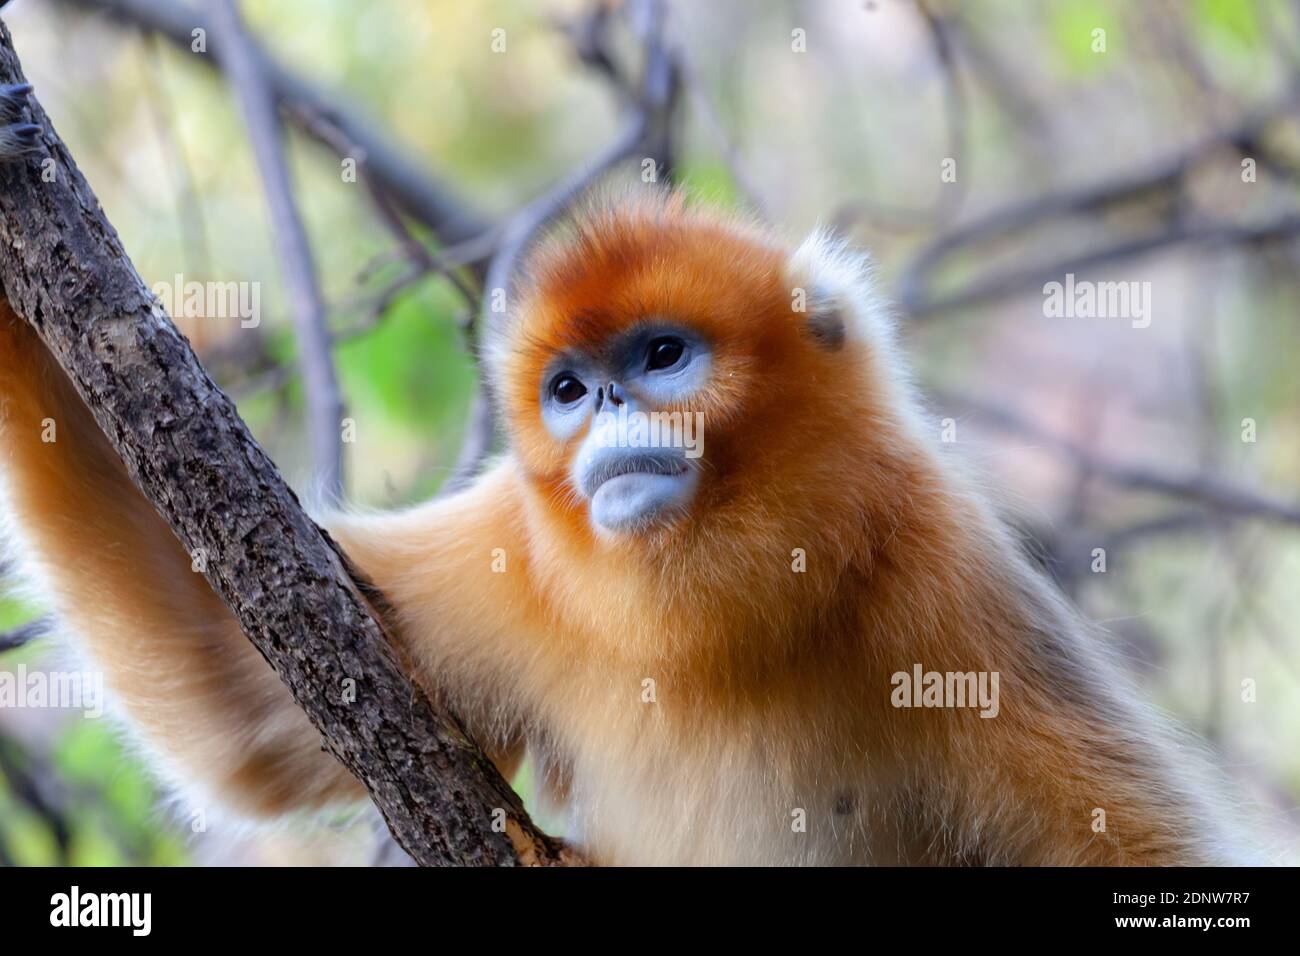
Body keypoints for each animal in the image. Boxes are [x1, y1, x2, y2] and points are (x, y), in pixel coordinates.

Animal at [0, 88, 1246, 865]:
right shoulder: (514, 553)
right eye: (567, 387)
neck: (718, 628)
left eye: (658, 357)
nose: (606, 408)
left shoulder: (948, 576)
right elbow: (242, 702)